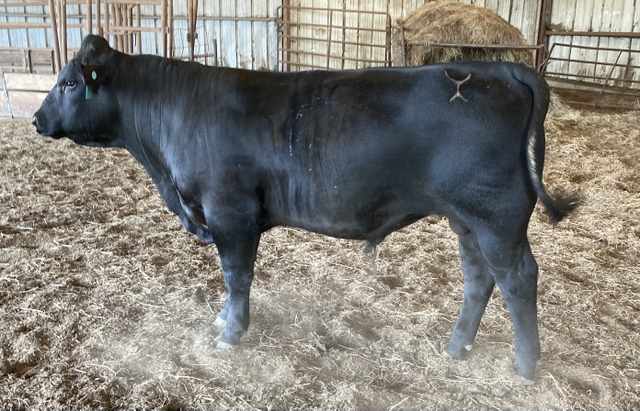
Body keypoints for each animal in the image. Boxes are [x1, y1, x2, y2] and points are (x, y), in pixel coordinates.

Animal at [32, 35, 577, 382]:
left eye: (68, 83)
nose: (36, 119)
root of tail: (497, 67)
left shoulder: (231, 213)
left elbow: (236, 275)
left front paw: (231, 332)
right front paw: (221, 320)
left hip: (497, 217)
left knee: (517, 279)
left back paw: (525, 367)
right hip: (466, 219)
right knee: (479, 278)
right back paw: (457, 347)